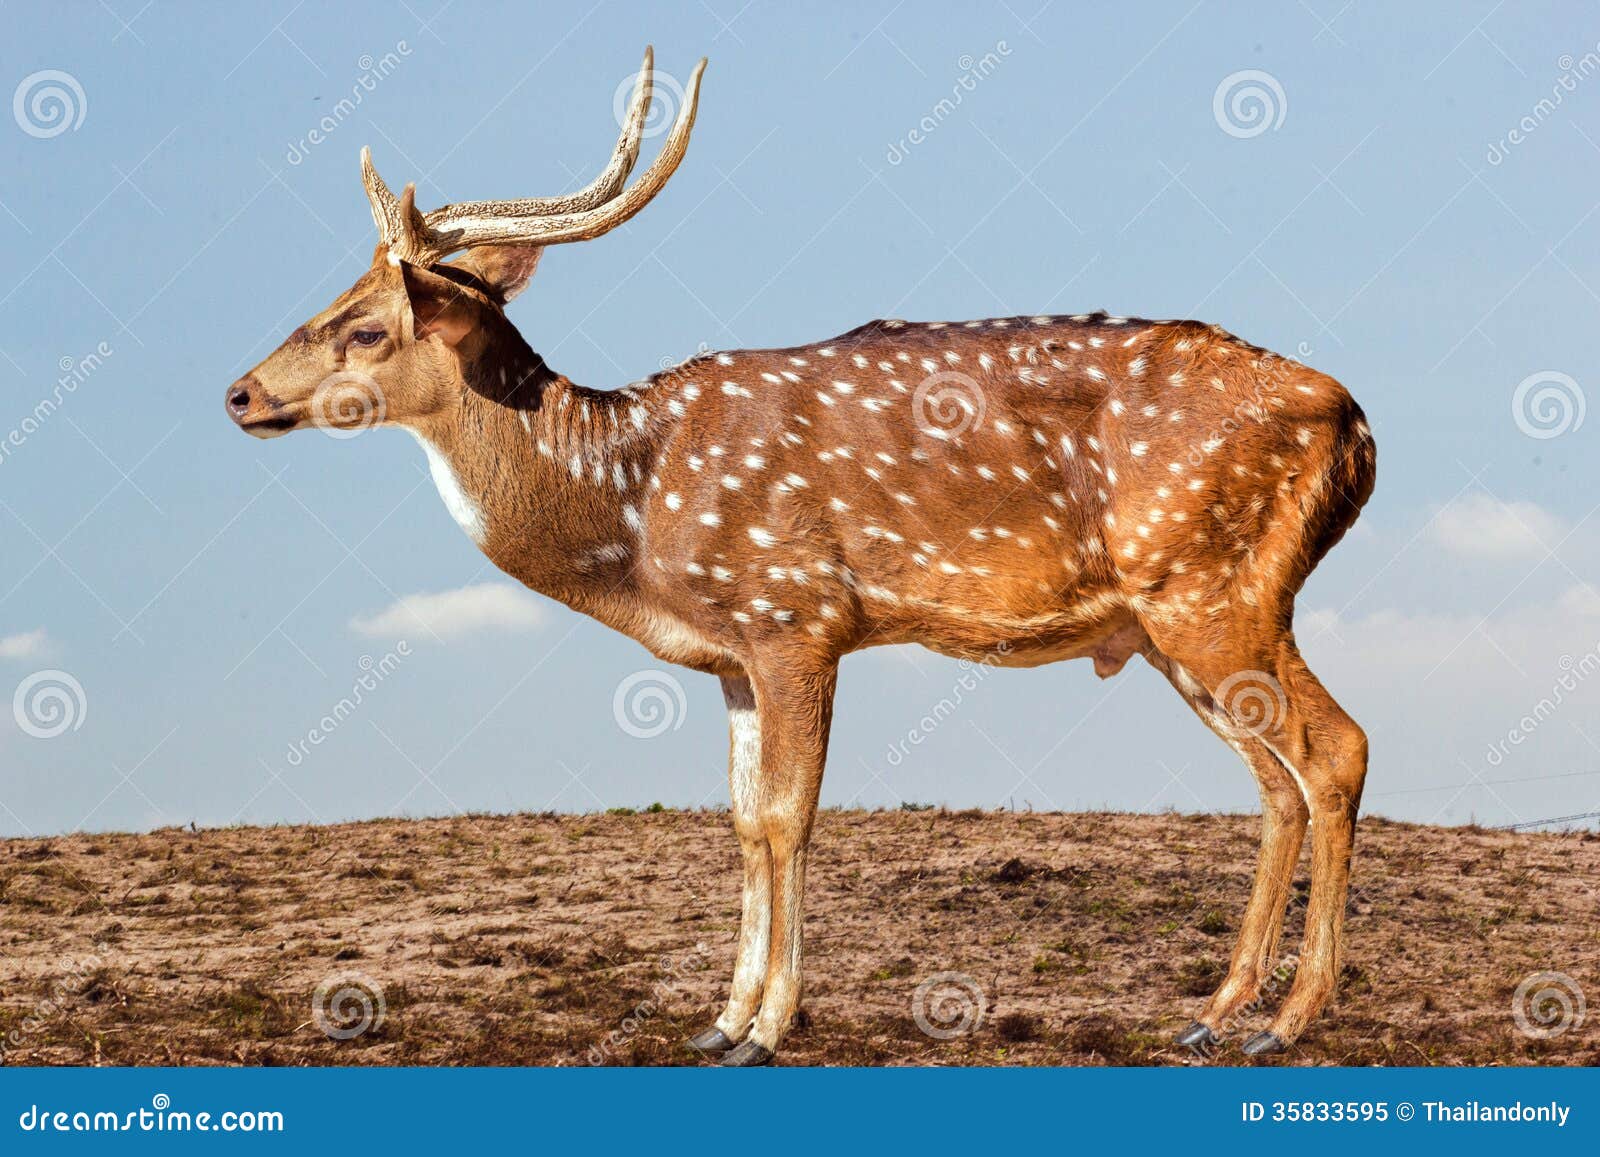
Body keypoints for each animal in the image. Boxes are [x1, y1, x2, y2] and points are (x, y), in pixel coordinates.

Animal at [225, 49, 1377, 1066]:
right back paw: (1213, 1014)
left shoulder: (795, 616)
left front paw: (768, 1027)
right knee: (1275, 780)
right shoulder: (732, 658)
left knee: (1337, 748)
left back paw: (1287, 1019)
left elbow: (787, 817)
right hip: (1167, 625)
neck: (632, 511)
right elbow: (740, 821)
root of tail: (1354, 420)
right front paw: (718, 1019)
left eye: (366, 327)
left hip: (1216, 587)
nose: (239, 391)